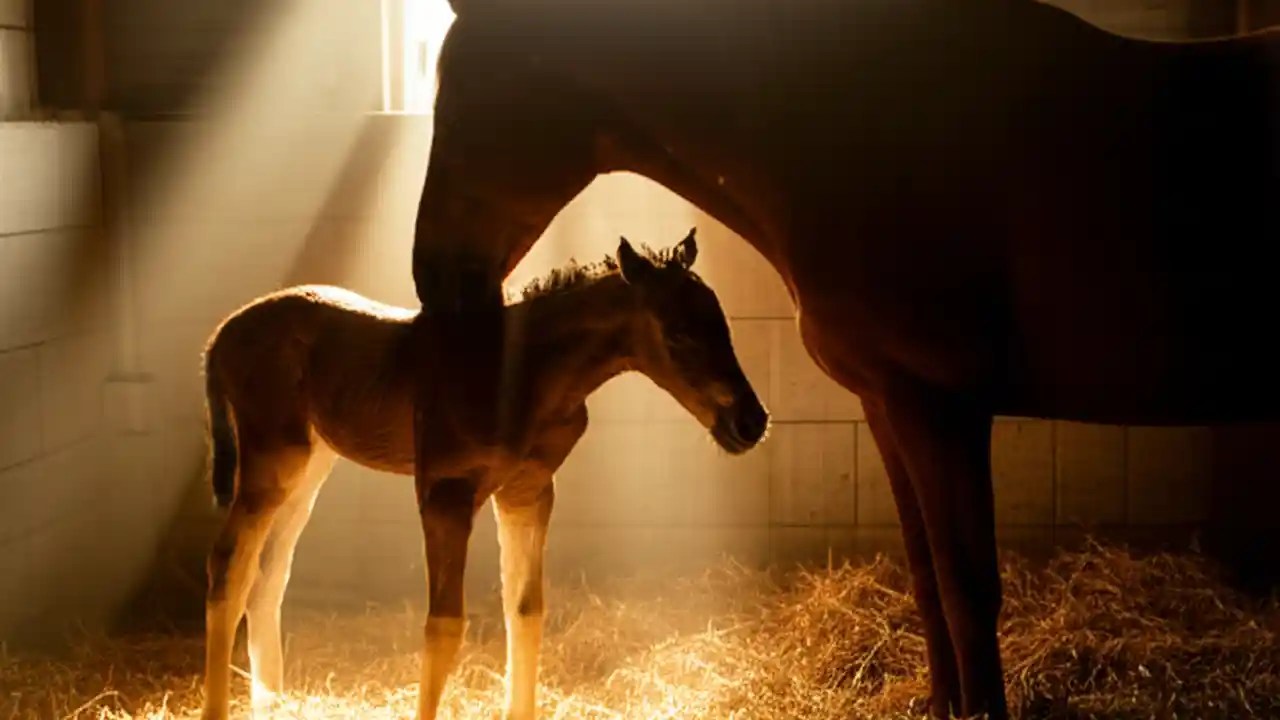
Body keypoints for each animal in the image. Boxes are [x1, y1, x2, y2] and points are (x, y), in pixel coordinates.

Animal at [197, 231, 770, 720]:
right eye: (678, 334)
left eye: (723, 324)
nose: (751, 422)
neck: (520, 373)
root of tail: (221, 335)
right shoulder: (445, 490)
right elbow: (445, 624)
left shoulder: (528, 490)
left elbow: (526, 609)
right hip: (271, 460)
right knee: (229, 565)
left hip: (309, 468)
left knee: (268, 577)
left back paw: (273, 704)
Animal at [409, 0, 1280, 717]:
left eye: (464, 102)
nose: (432, 281)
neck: (850, 141)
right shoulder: (890, 407)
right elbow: (929, 582)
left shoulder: (942, 406)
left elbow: (969, 591)